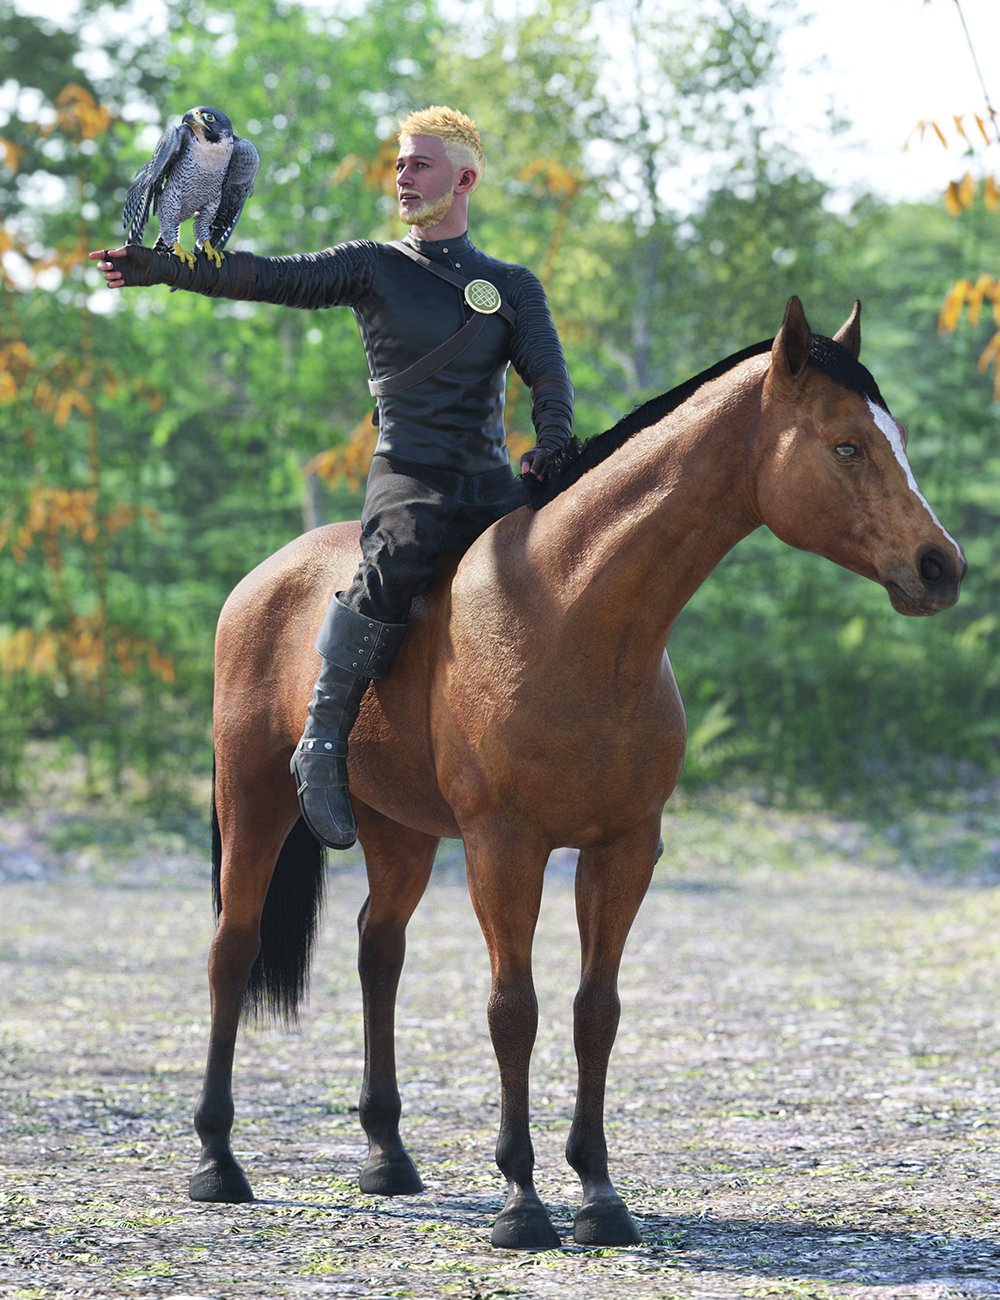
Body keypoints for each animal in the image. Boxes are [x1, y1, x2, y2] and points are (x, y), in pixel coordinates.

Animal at [189, 297, 965, 1250]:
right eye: (848, 444)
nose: (941, 566)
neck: (572, 611)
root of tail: (260, 581)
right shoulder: (505, 848)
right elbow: (512, 1009)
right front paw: (522, 1203)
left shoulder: (622, 849)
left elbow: (597, 1010)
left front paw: (598, 1195)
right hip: (253, 795)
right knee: (233, 948)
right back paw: (217, 1160)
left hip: (399, 832)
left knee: (380, 949)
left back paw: (386, 1157)